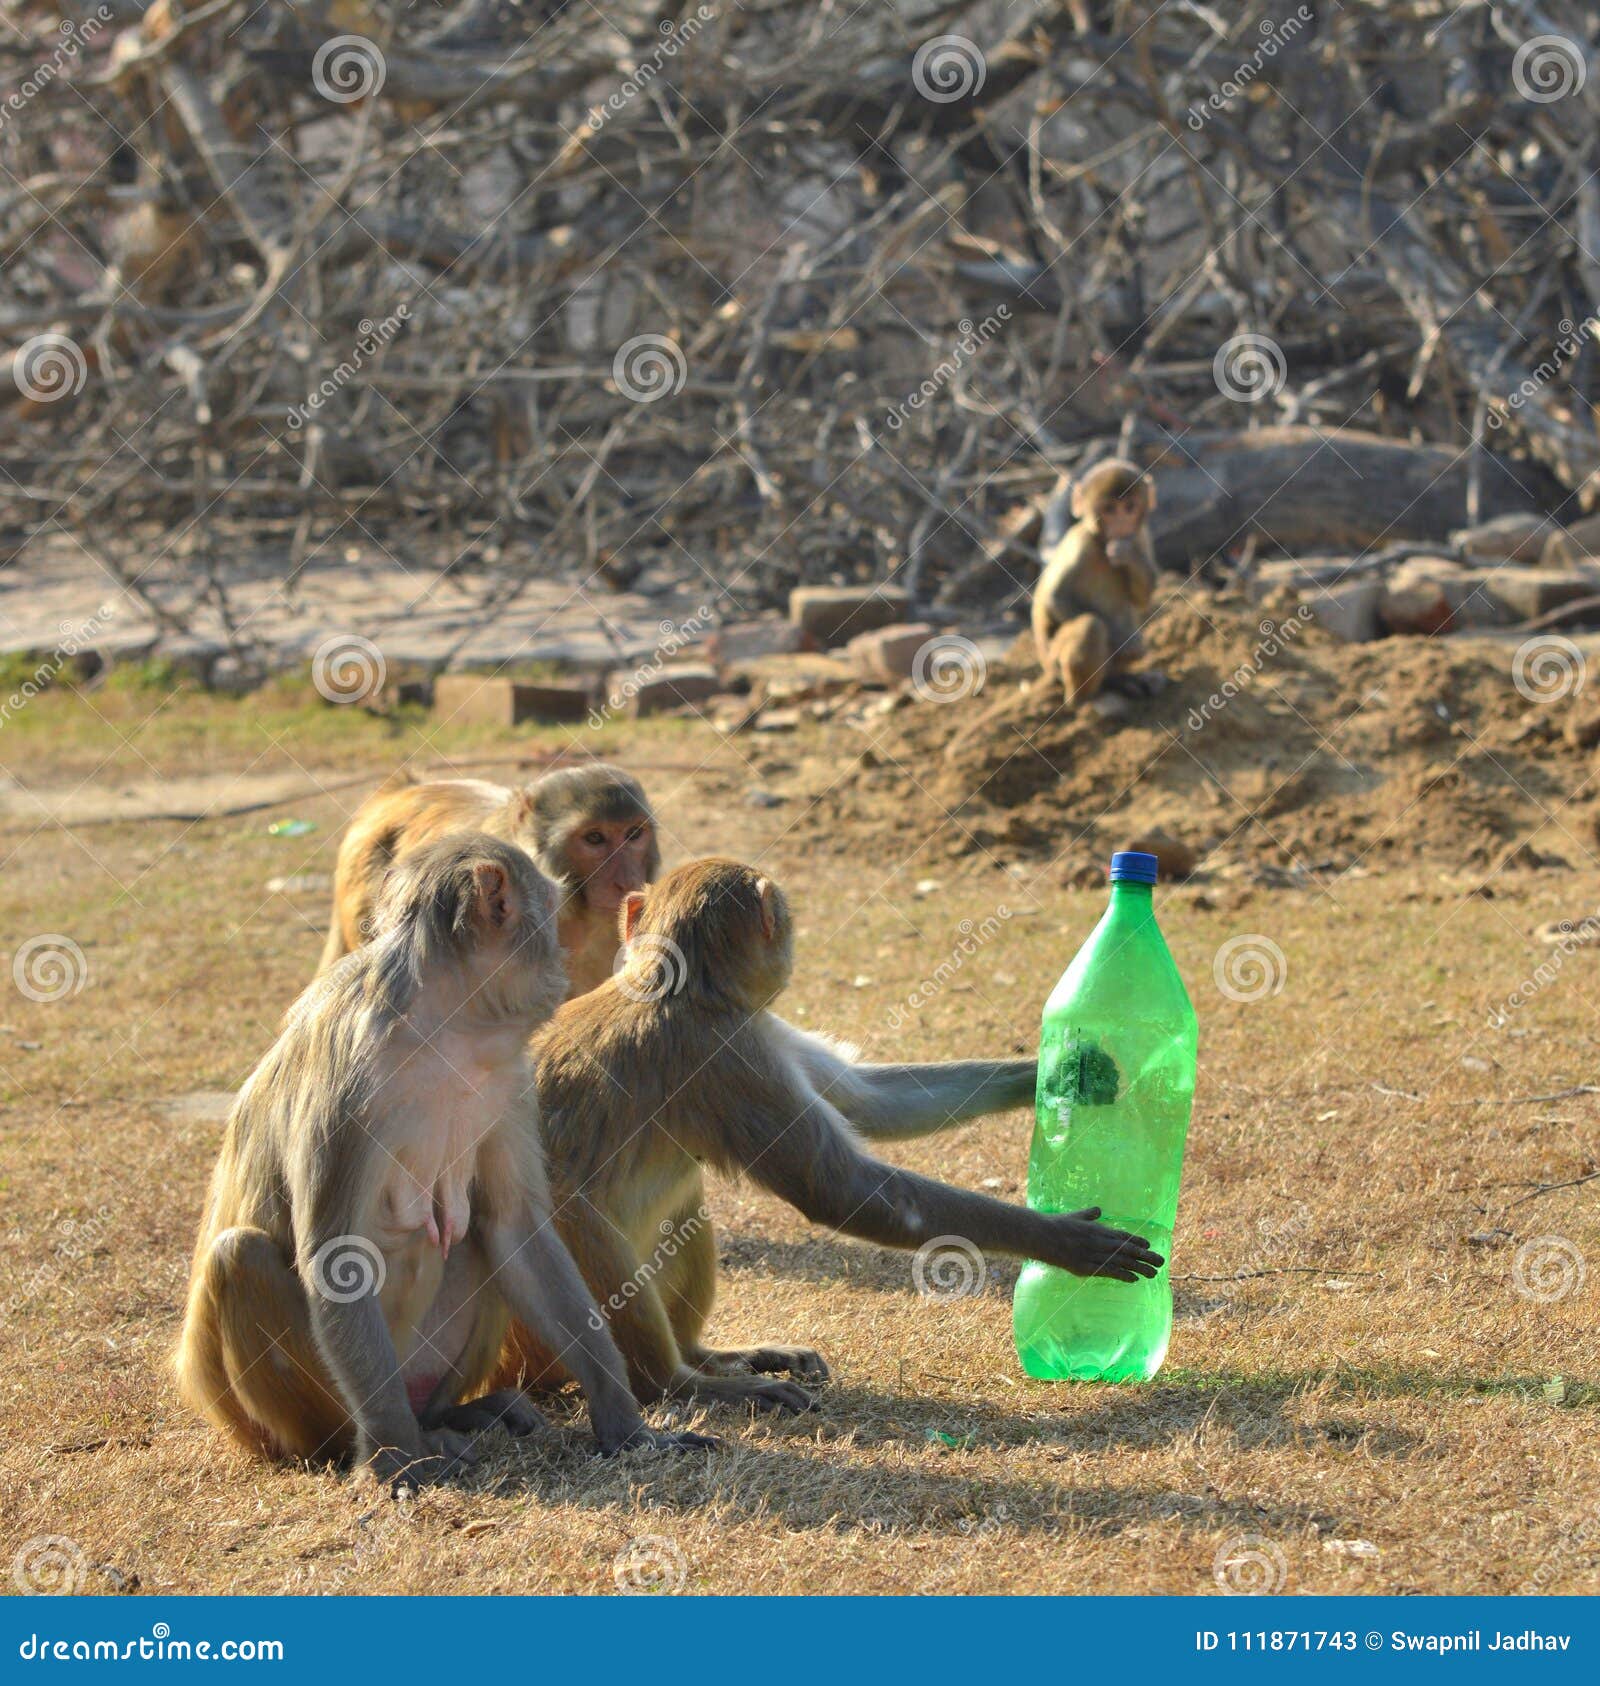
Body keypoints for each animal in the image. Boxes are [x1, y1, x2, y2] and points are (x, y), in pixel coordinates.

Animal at [176, 833, 713, 1488]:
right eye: (549, 910)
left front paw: (625, 1424)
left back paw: (460, 1413)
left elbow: (513, 1228)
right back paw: (385, 1441)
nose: (561, 960)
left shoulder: (510, 1079)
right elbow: (336, 1257)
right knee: (241, 1256)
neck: (442, 1030)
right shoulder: (349, 1080)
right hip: (302, 1411)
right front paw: (398, 1460)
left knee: (474, 1234)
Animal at [493, 859, 1163, 1414]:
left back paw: (709, 1356)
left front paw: (1069, 1073)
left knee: (684, 1206)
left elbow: (865, 1099)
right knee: (585, 1225)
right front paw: (1062, 1240)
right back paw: (677, 1383)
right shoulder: (730, 1053)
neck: (674, 984)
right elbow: (839, 1188)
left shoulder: (756, 1031)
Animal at [1032, 457, 1159, 706]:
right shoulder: (1080, 543)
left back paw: (1121, 679)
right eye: (1109, 509)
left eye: (1129, 507)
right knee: (1092, 626)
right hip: (1055, 659)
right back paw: (1085, 697)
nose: (1121, 523)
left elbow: (1141, 599)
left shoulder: (1141, 535)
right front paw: (1124, 643)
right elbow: (1056, 597)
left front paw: (1126, 552)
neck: (1101, 545)